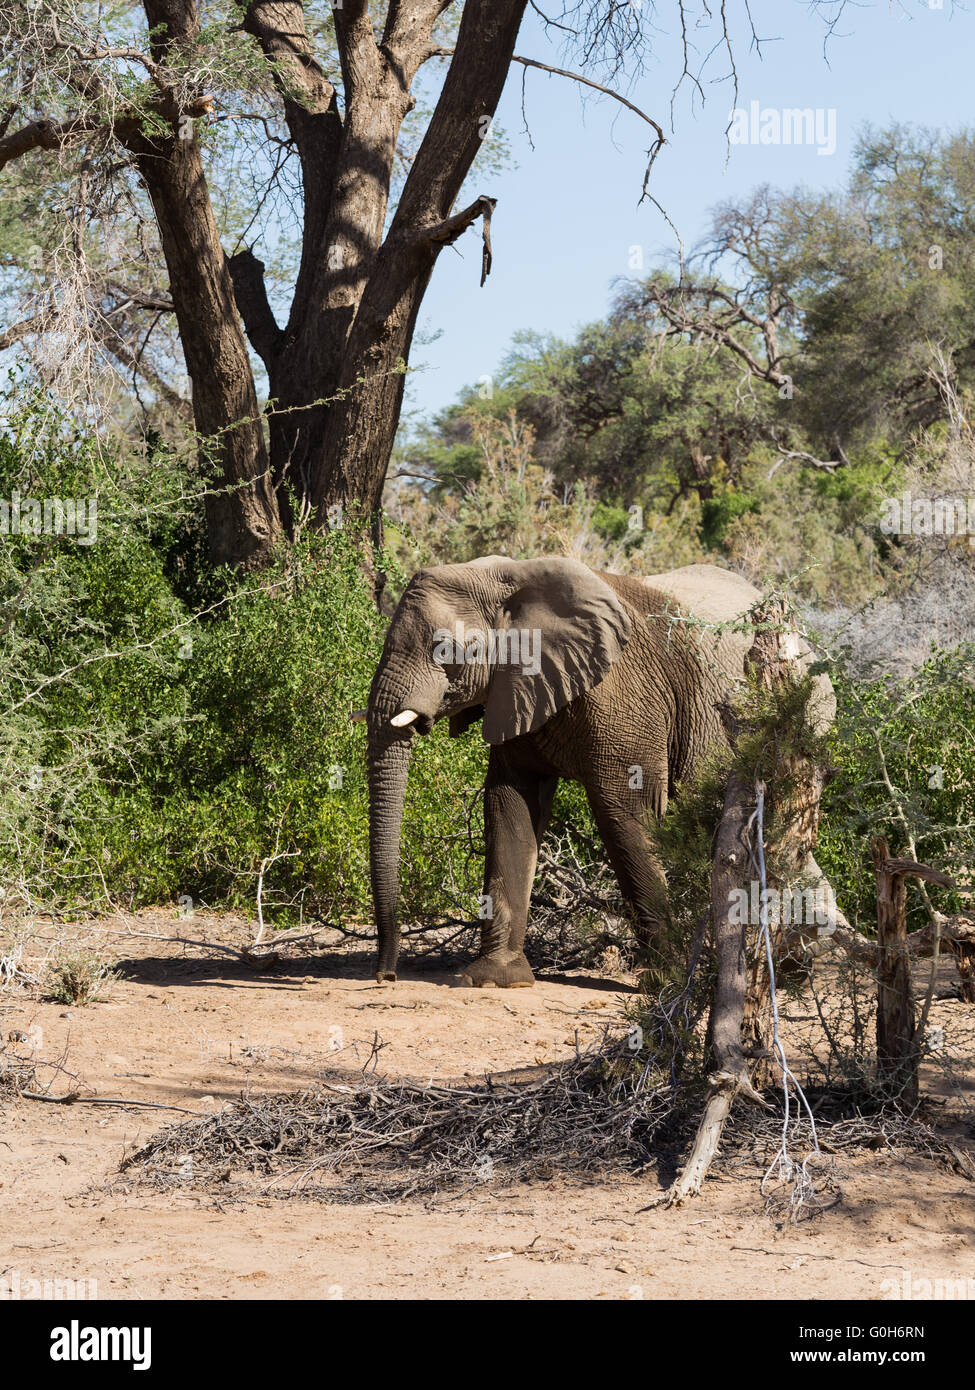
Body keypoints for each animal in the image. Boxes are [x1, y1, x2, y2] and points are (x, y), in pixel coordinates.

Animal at [364, 556, 836, 988]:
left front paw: (663, 982)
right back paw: (803, 960)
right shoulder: (516, 689)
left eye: (446, 651)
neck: (511, 577)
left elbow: (623, 811)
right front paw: (495, 979)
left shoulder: (624, 696)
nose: (386, 975)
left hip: (802, 719)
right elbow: (509, 805)